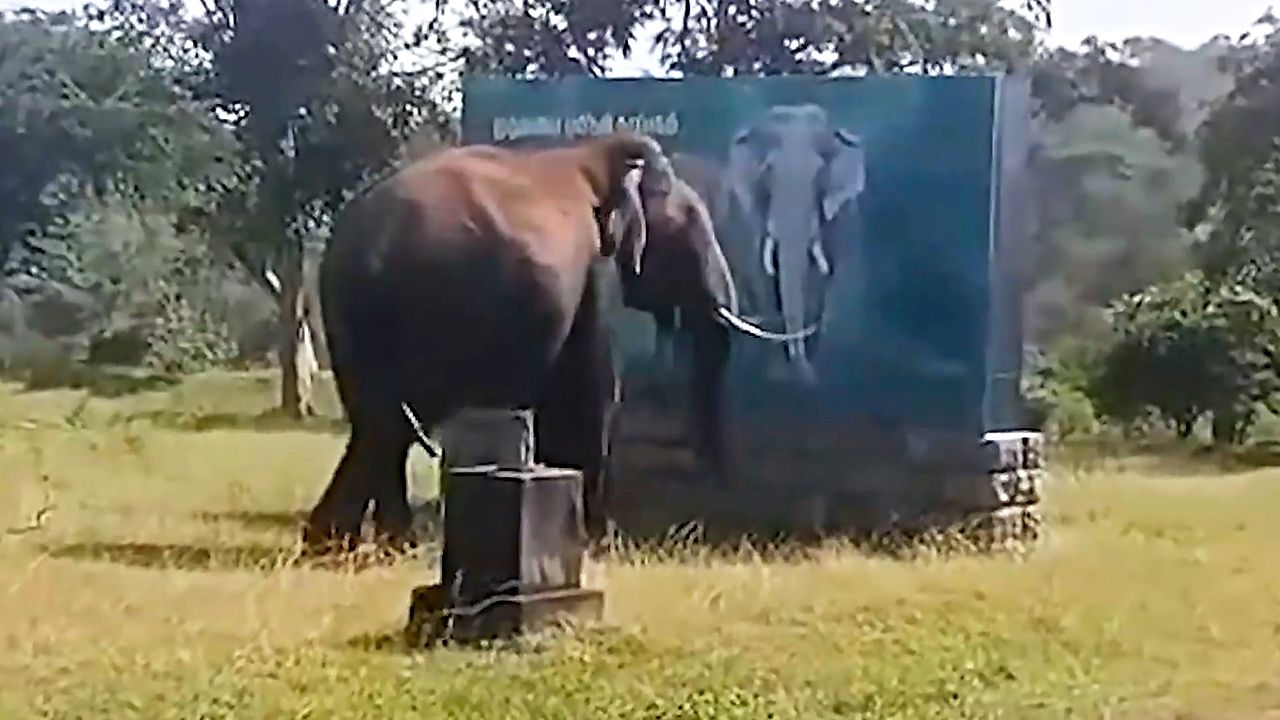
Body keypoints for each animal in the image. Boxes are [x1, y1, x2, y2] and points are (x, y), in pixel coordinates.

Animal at [303, 131, 668, 552]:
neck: (591, 150)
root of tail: (367, 251)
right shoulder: (593, 271)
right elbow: (588, 392)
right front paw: (593, 541)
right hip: (440, 313)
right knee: (390, 424)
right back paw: (365, 541)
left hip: (350, 314)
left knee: (377, 421)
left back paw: (341, 541)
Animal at [717, 104, 867, 385]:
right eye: (768, 170)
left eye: (819, 173)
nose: (804, 372)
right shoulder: (751, 214)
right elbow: (763, 273)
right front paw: (777, 374)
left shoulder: (837, 219)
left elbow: (820, 275)